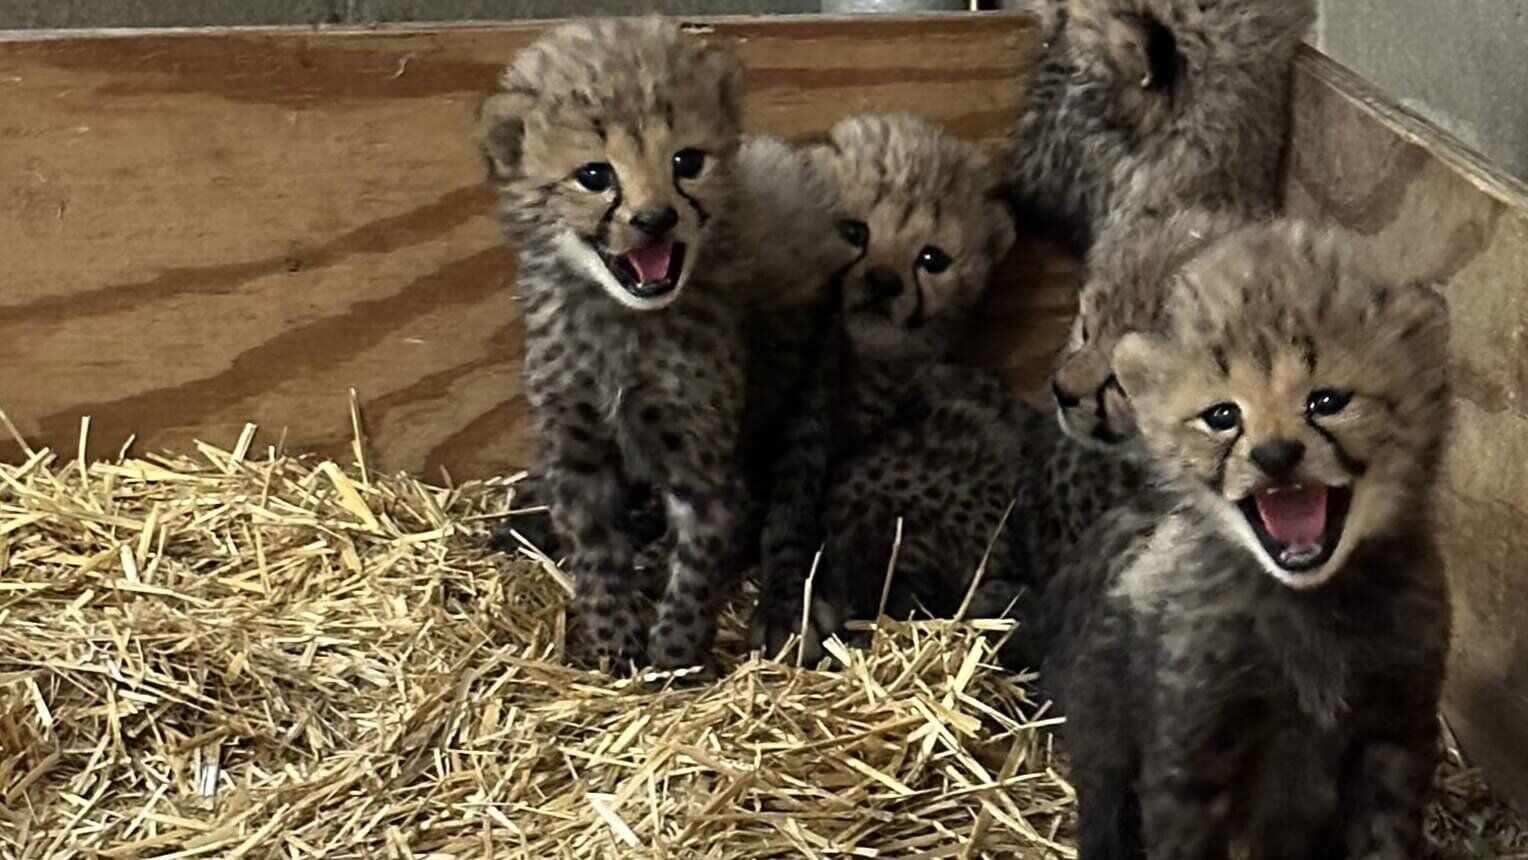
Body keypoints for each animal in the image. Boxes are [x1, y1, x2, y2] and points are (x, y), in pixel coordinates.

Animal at [476, 18, 849, 669]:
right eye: (595, 175)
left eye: (687, 161)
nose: (655, 219)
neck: (623, 323)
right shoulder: (579, 450)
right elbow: (597, 554)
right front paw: (612, 643)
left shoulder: (702, 459)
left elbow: (701, 557)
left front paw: (675, 656)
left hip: (808, 393)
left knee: (788, 510)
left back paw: (781, 606)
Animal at [1025, 218, 1452, 859]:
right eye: (1222, 416)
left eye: (1327, 401)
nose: (1275, 456)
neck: (1309, 603)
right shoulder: (1190, 757)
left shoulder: (1394, 737)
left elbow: (1386, 840)